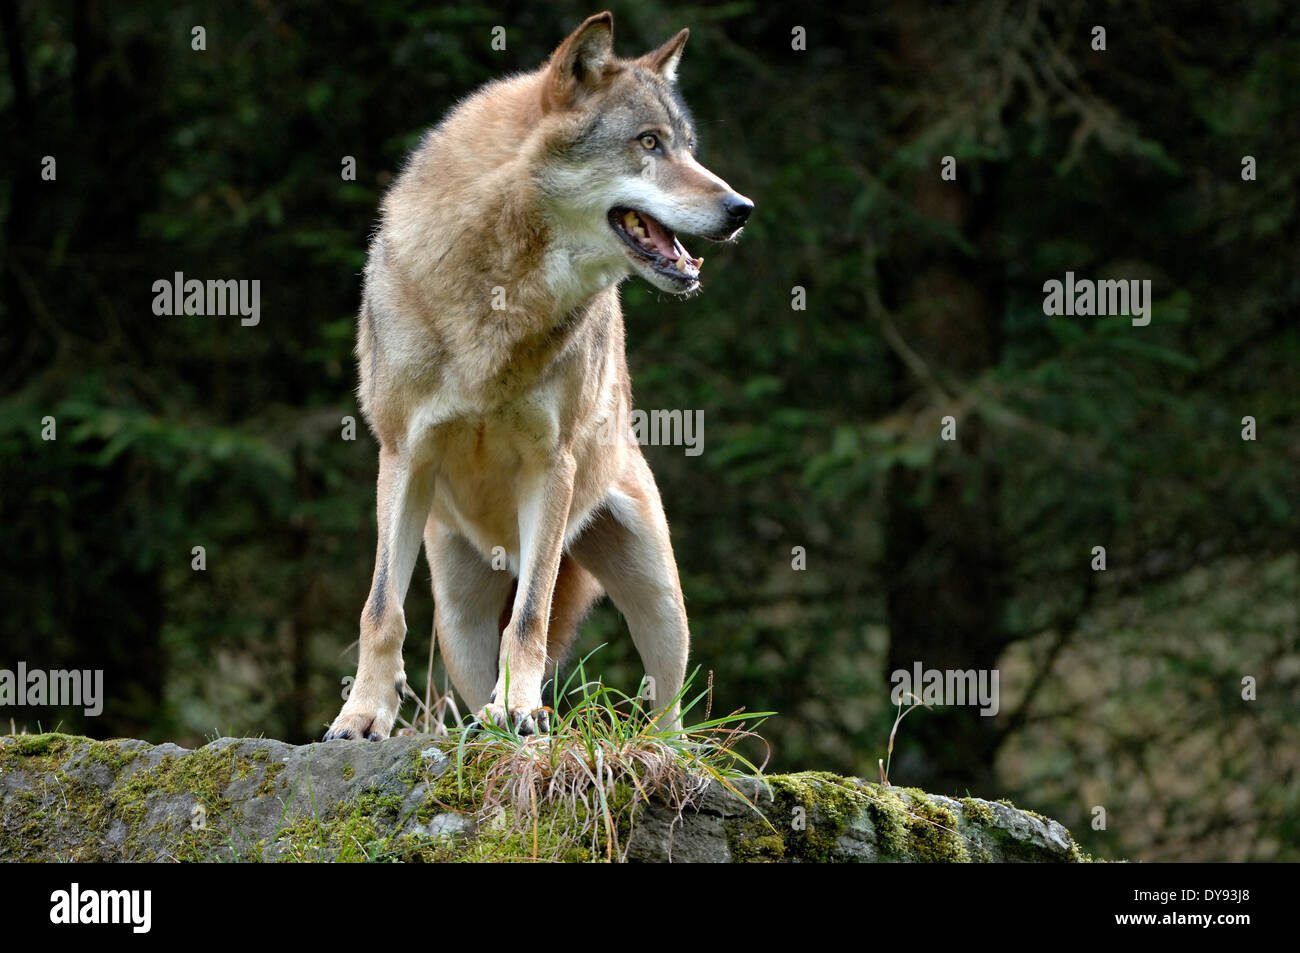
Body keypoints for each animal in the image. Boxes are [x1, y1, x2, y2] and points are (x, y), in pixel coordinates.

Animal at [324, 12, 753, 741]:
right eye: (649, 143)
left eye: (689, 149)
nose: (742, 207)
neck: (502, 298)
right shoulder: (403, 454)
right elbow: (381, 608)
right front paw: (361, 716)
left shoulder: (551, 465)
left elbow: (531, 617)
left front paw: (522, 710)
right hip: (459, 623)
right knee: (468, 670)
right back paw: (480, 723)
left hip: (659, 597)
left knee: (667, 711)